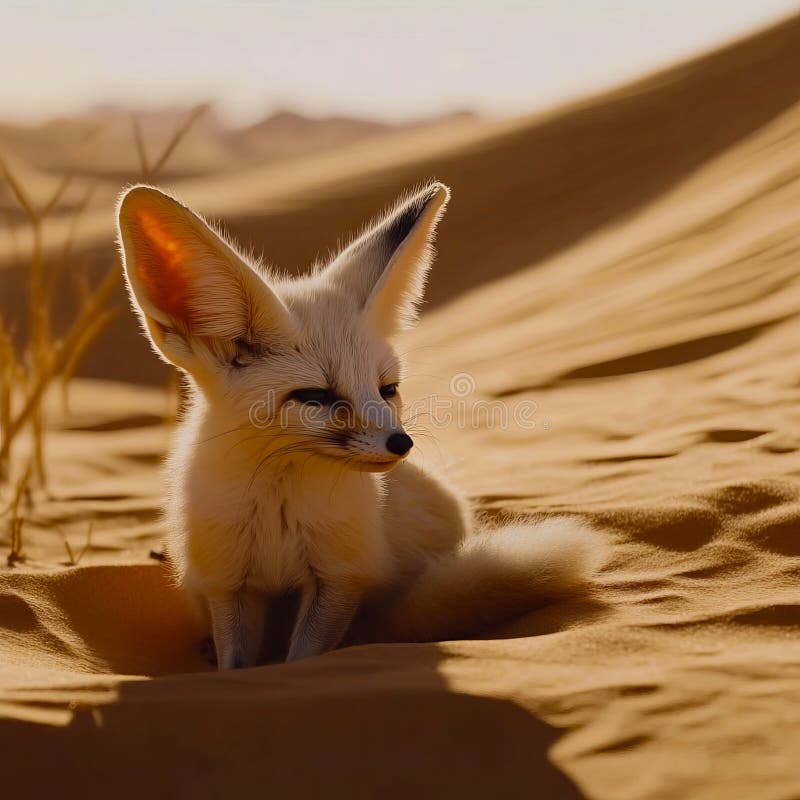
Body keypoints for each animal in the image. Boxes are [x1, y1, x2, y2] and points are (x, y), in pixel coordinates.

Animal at [116, 181, 604, 669]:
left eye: (387, 389)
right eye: (315, 397)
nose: (401, 443)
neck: (278, 510)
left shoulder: (339, 579)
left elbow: (303, 658)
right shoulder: (228, 584)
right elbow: (237, 664)